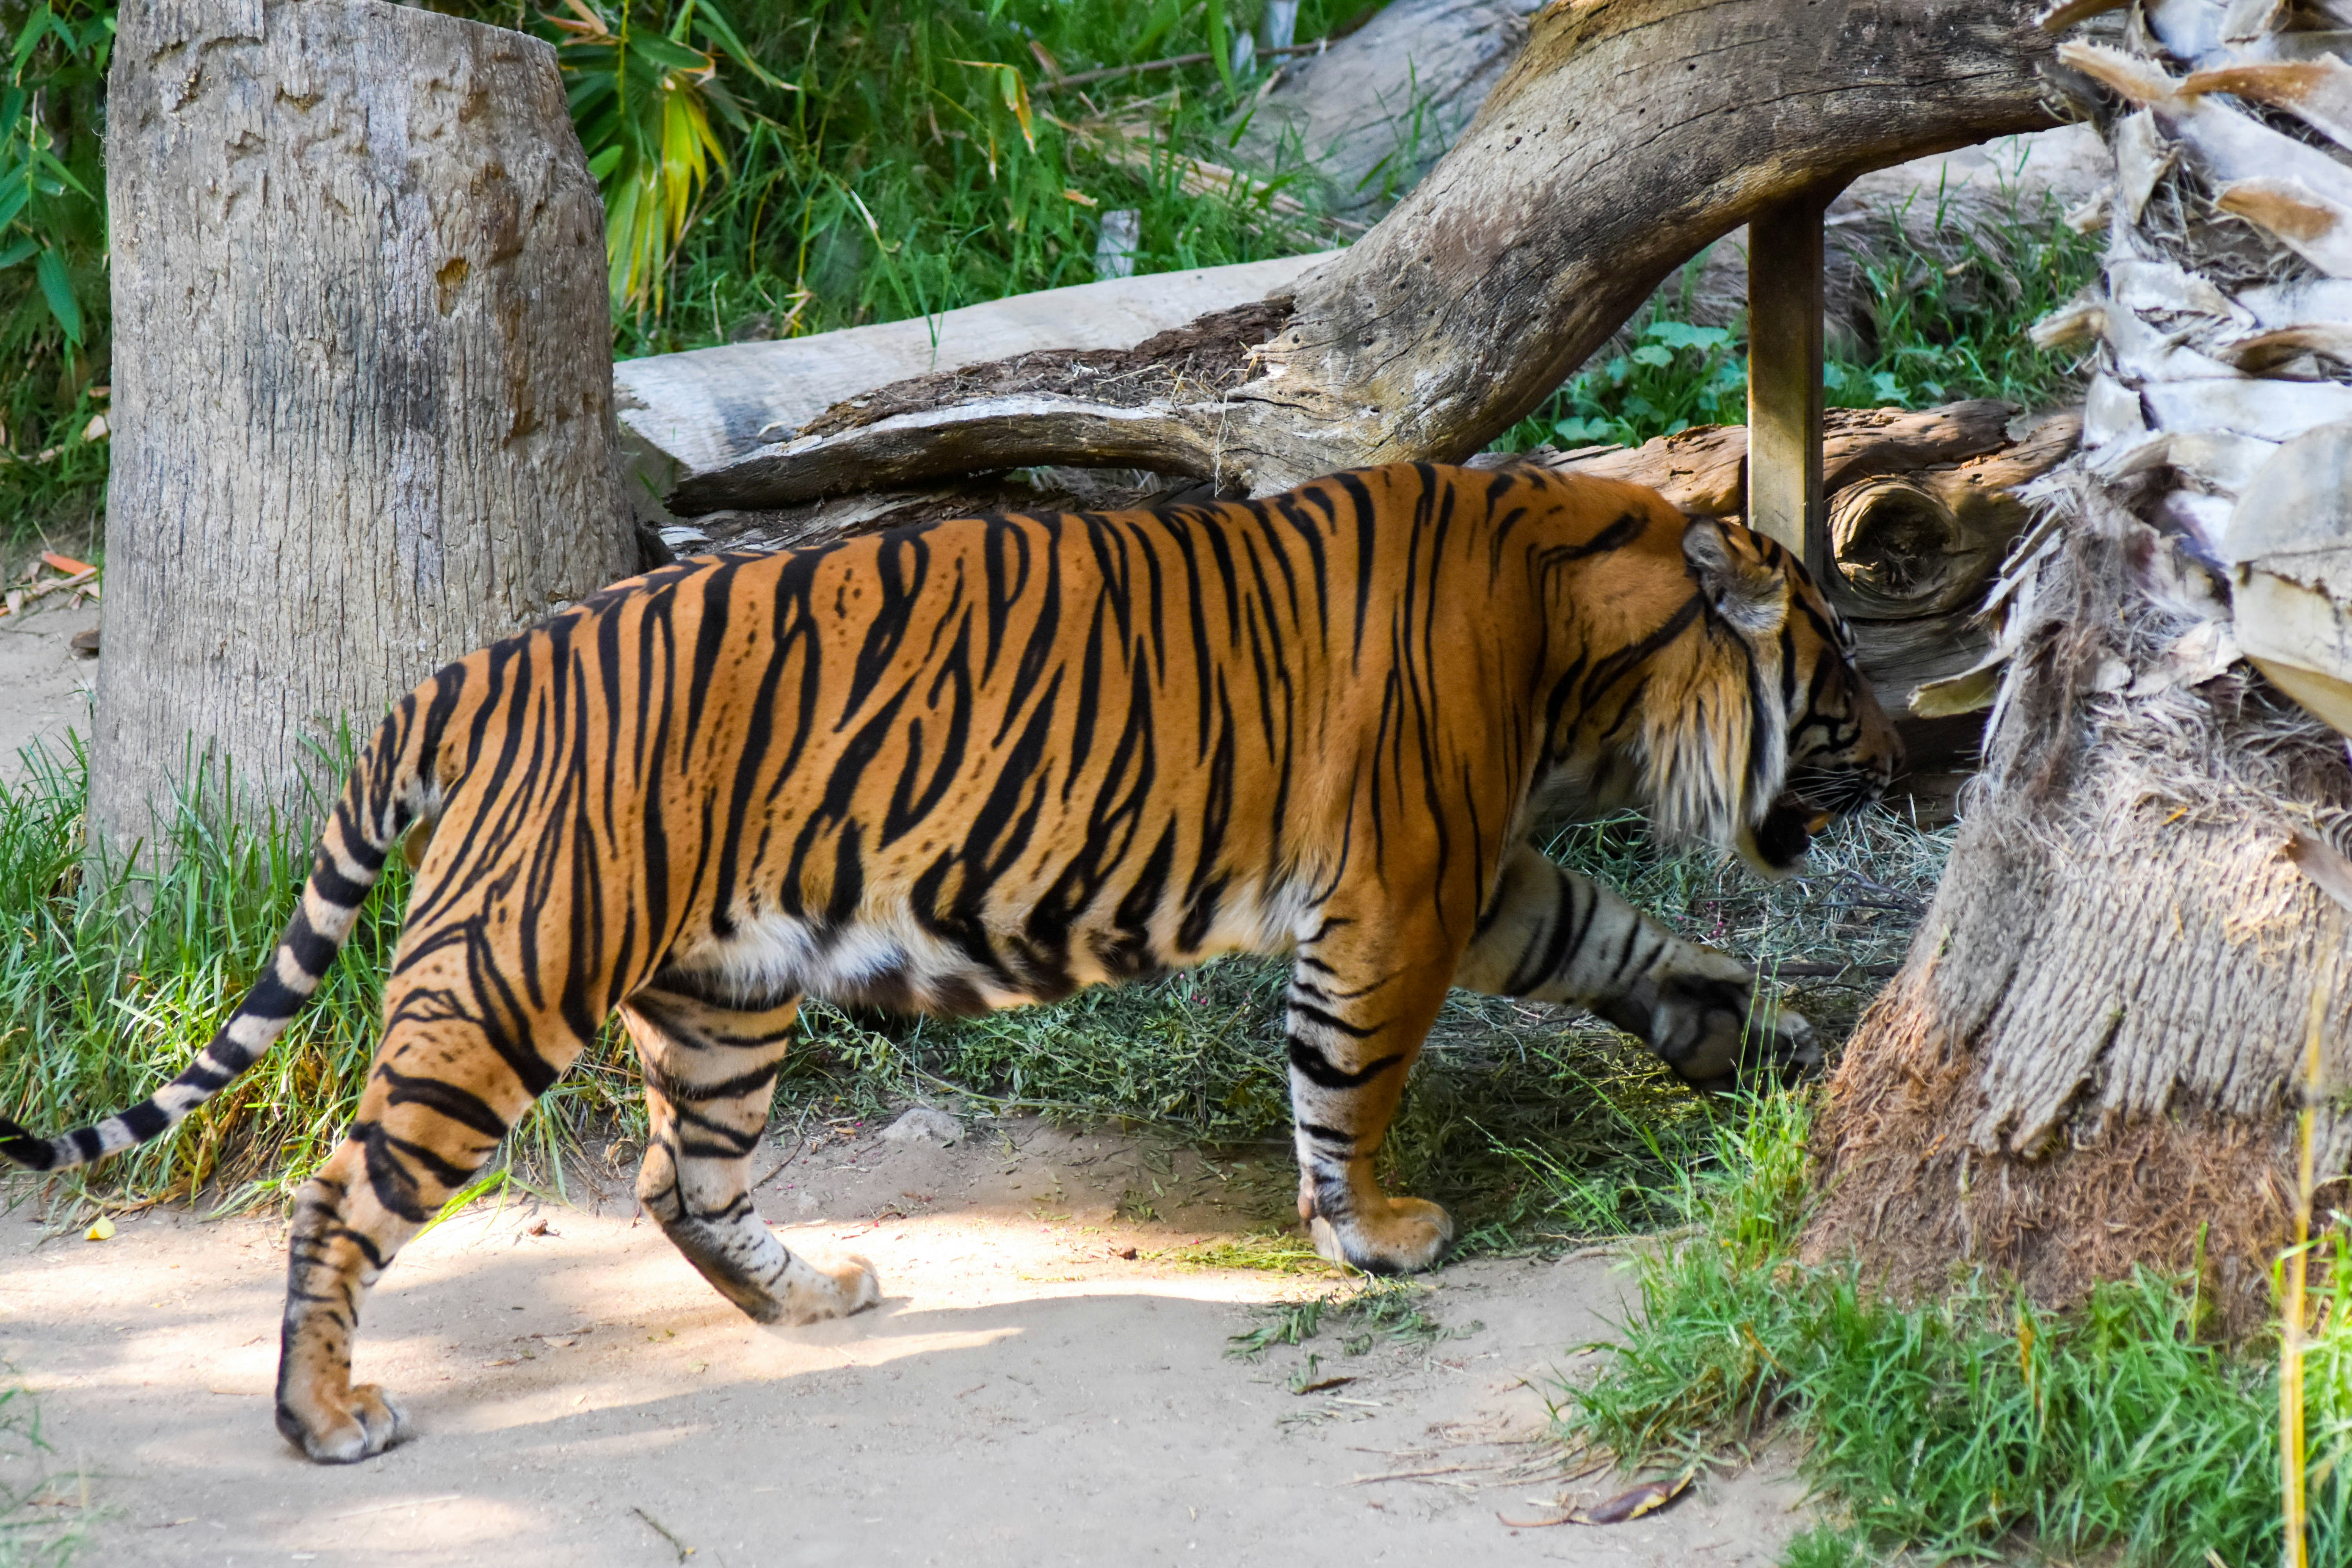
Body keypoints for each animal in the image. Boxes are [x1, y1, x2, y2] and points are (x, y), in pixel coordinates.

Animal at [1, 461, 1900, 1463]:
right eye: (1839, 685)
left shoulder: (1476, 873)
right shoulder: (1404, 889)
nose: (1905, 755)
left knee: (679, 1179)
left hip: (722, 989)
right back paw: (324, 1414)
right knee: (346, 1189)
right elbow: (1350, 1075)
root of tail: (472, 666)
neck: (1589, 652)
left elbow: (1613, 934)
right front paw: (1376, 1234)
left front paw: (1745, 1023)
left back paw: (813, 1298)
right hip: (514, 973)